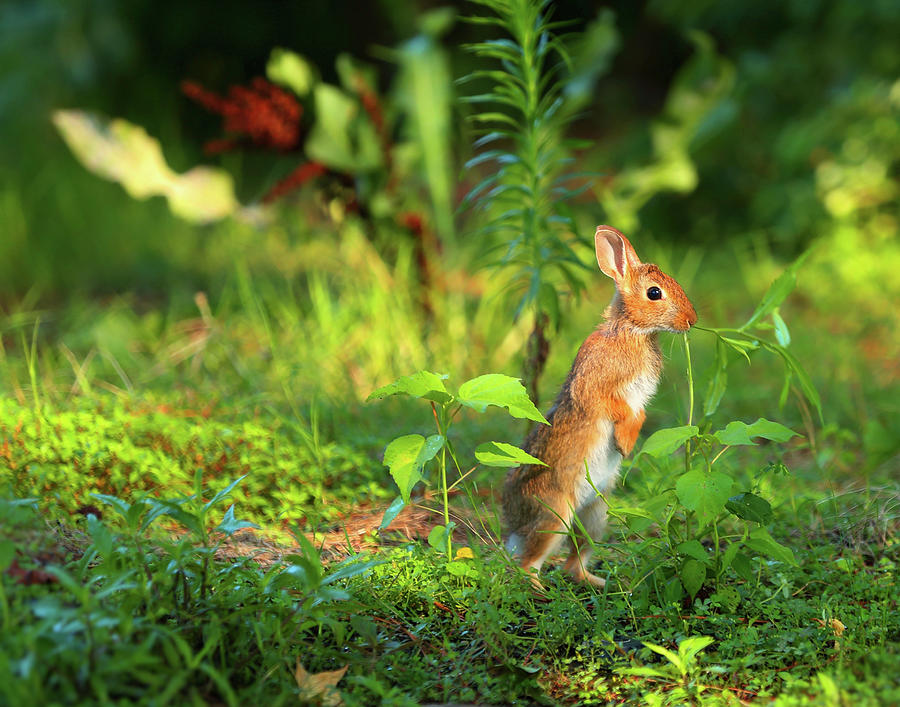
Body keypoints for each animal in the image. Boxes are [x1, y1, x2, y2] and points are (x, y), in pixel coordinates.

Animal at [503, 225, 697, 588]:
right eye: (654, 293)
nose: (692, 320)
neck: (632, 331)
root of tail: (513, 527)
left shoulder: (639, 400)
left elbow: (639, 414)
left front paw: (626, 445)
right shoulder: (596, 390)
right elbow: (616, 410)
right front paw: (623, 443)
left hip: (596, 515)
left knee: (574, 562)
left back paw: (602, 584)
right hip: (555, 514)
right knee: (528, 564)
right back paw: (540, 590)